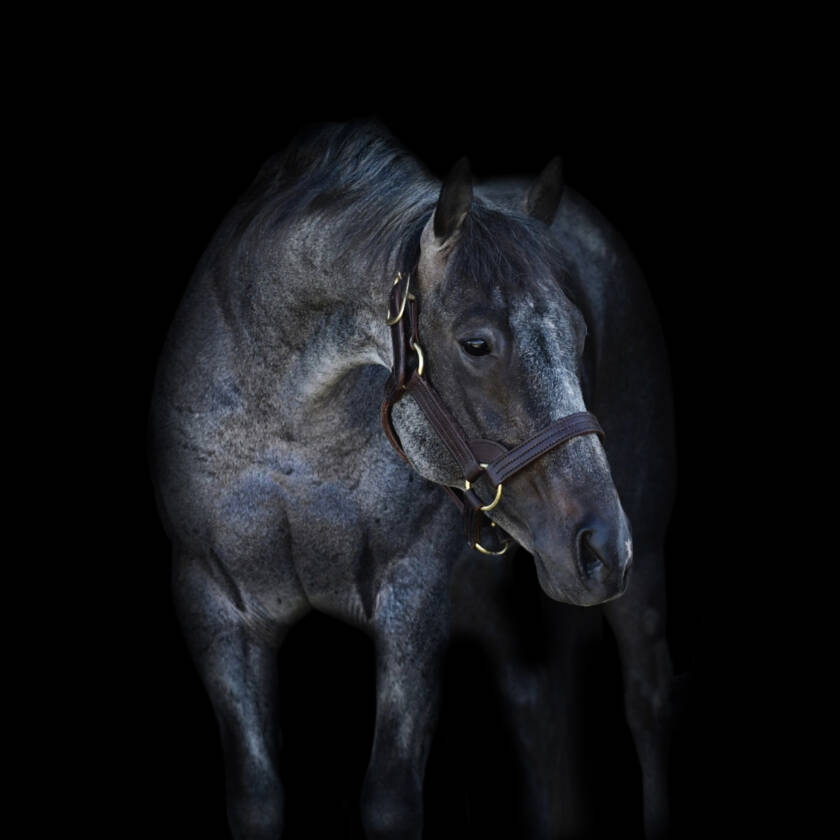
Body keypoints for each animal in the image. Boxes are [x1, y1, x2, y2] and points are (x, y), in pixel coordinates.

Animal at [149, 120, 675, 839]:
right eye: (476, 343)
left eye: (579, 334)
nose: (601, 548)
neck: (290, 428)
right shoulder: (213, 609)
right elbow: (255, 795)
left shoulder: (413, 603)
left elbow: (391, 797)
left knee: (645, 706)